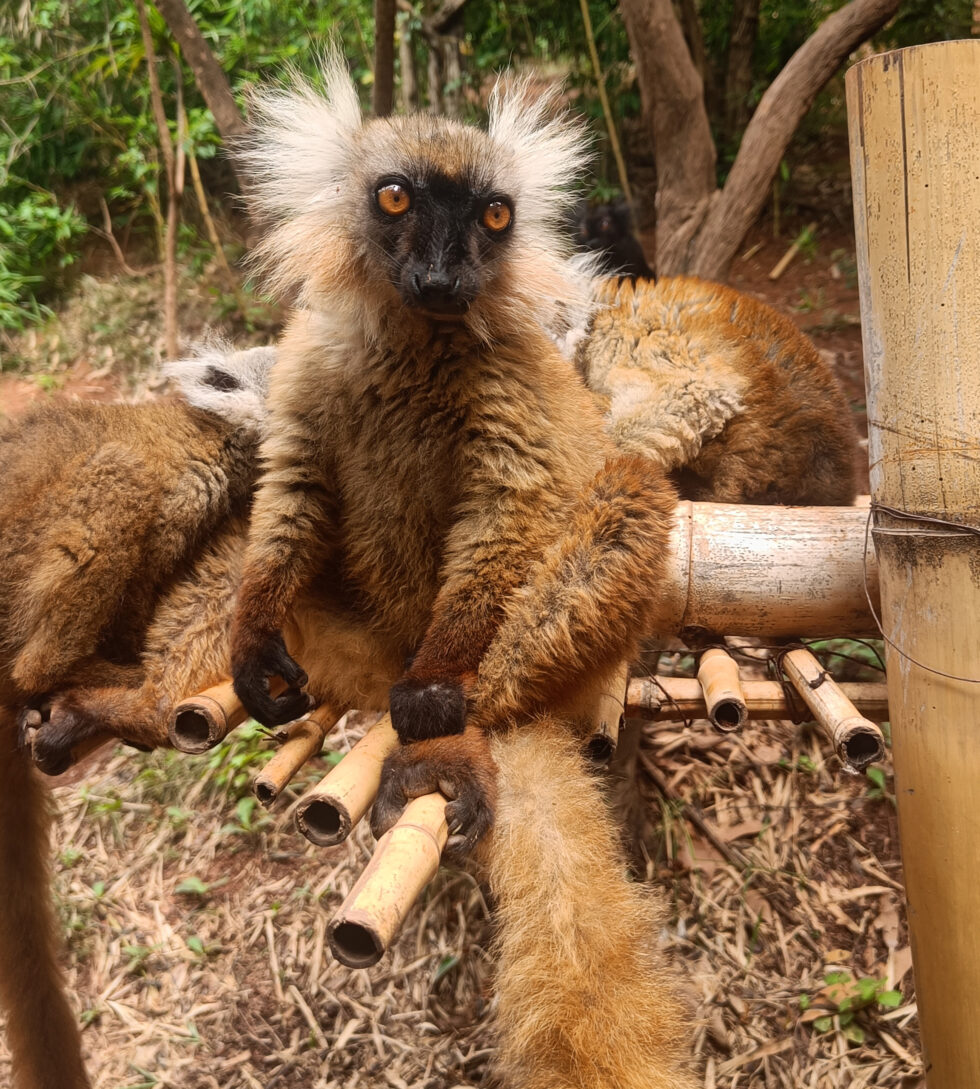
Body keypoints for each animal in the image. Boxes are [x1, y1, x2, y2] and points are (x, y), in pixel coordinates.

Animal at [229, 57, 698, 1089]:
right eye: (395, 197)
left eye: (494, 214)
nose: (447, 276)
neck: (415, 339)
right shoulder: (313, 360)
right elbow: (293, 488)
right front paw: (250, 637)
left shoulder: (508, 384)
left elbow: (509, 514)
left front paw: (438, 691)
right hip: (357, 642)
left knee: (625, 499)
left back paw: (448, 733)